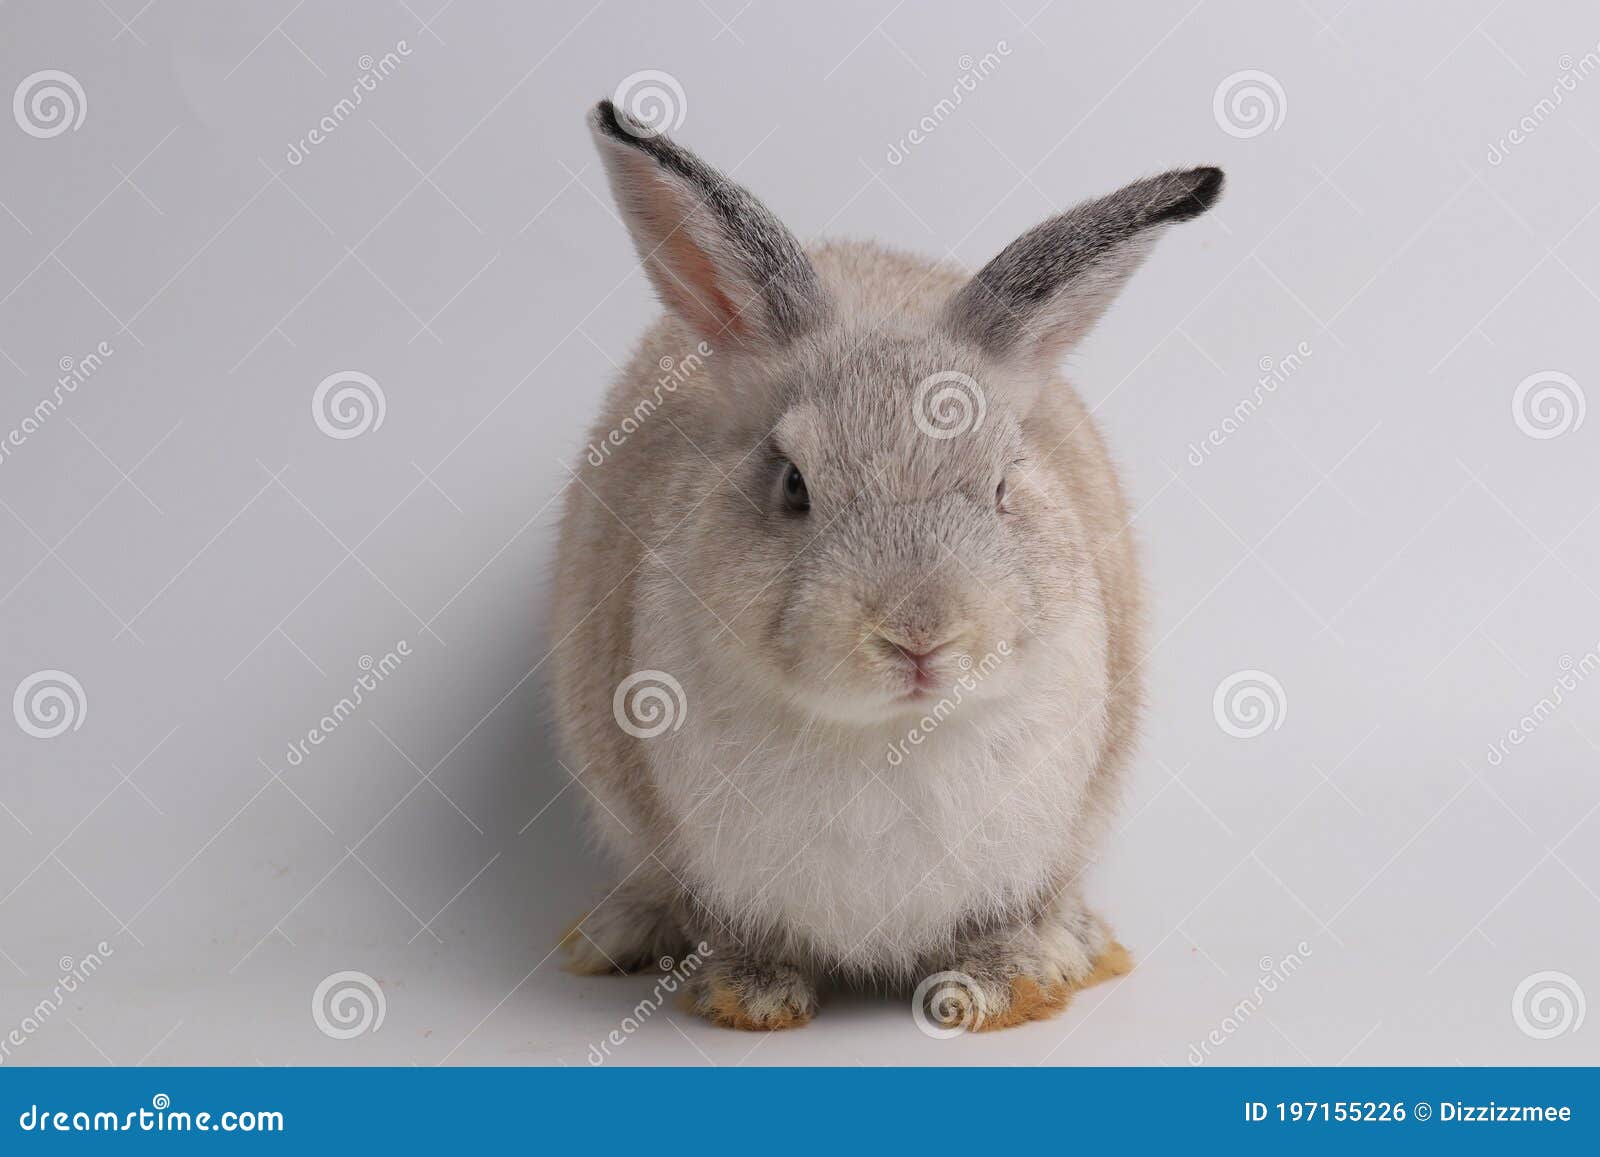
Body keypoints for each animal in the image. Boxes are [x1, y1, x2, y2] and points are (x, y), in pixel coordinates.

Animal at [551, 98, 1222, 1032]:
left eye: (1004, 483)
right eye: (793, 483)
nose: (919, 635)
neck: (889, 733)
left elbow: (1004, 920)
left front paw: (999, 987)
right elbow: (732, 924)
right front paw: (752, 997)